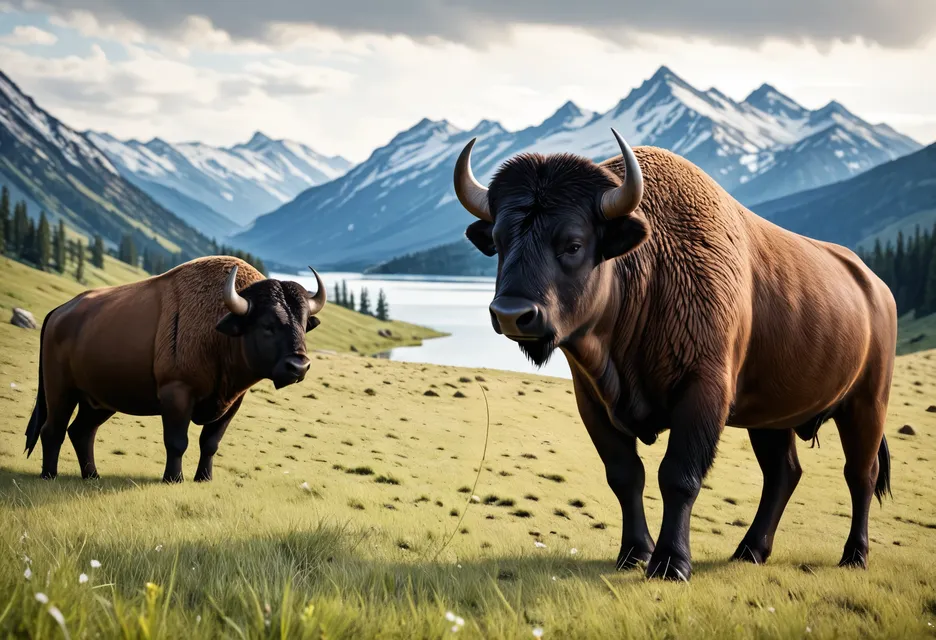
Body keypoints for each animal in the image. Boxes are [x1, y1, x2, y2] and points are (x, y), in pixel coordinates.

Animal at [24, 256, 326, 483]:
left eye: (303, 323)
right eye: (267, 325)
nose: (299, 366)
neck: (219, 331)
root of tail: (59, 312)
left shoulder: (232, 402)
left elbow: (210, 442)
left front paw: (204, 478)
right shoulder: (177, 394)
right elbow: (177, 441)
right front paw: (174, 478)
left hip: (99, 401)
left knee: (82, 431)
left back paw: (92, 476)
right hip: (61, 391)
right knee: (53, 429)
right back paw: (49, 475)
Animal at [454, 130, 896, 580]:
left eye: (573, 244)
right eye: (500, 242)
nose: (512, 314)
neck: (646, 267)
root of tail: (877, 287)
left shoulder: (703, 394)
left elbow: (678, 476)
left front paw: (671, 563)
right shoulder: (592, 401)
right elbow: (625, 475)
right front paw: (633, 553)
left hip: (865, 404)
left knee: (860, 474)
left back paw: (854, 556)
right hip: (772, 418)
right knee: (783, 473)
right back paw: (749, 551)